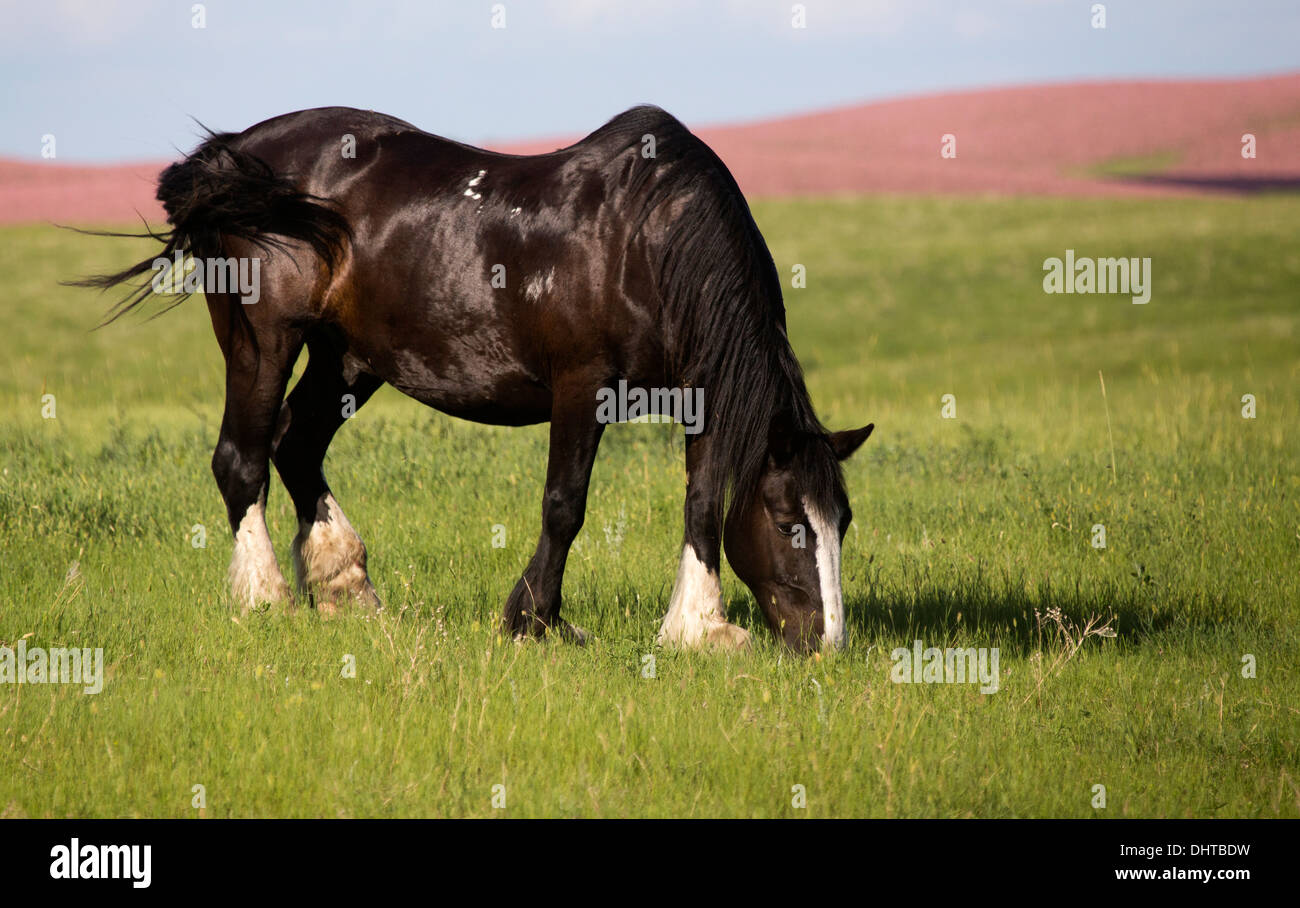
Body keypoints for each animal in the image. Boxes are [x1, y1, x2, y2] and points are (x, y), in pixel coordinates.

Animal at [78, 105, 873, 653]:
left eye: (842, 522)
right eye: (788, 523)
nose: (825, 644)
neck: (648, 242)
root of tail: (236, 153)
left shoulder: (702, 398)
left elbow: (703, 501)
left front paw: (696, 630)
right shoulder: (583, 386)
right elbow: (565, 504)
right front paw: (536, 621)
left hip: (349, 358)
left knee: (295, 446)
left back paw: (345, 585)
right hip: (263, 342)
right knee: (240, 459)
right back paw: (267, 597)